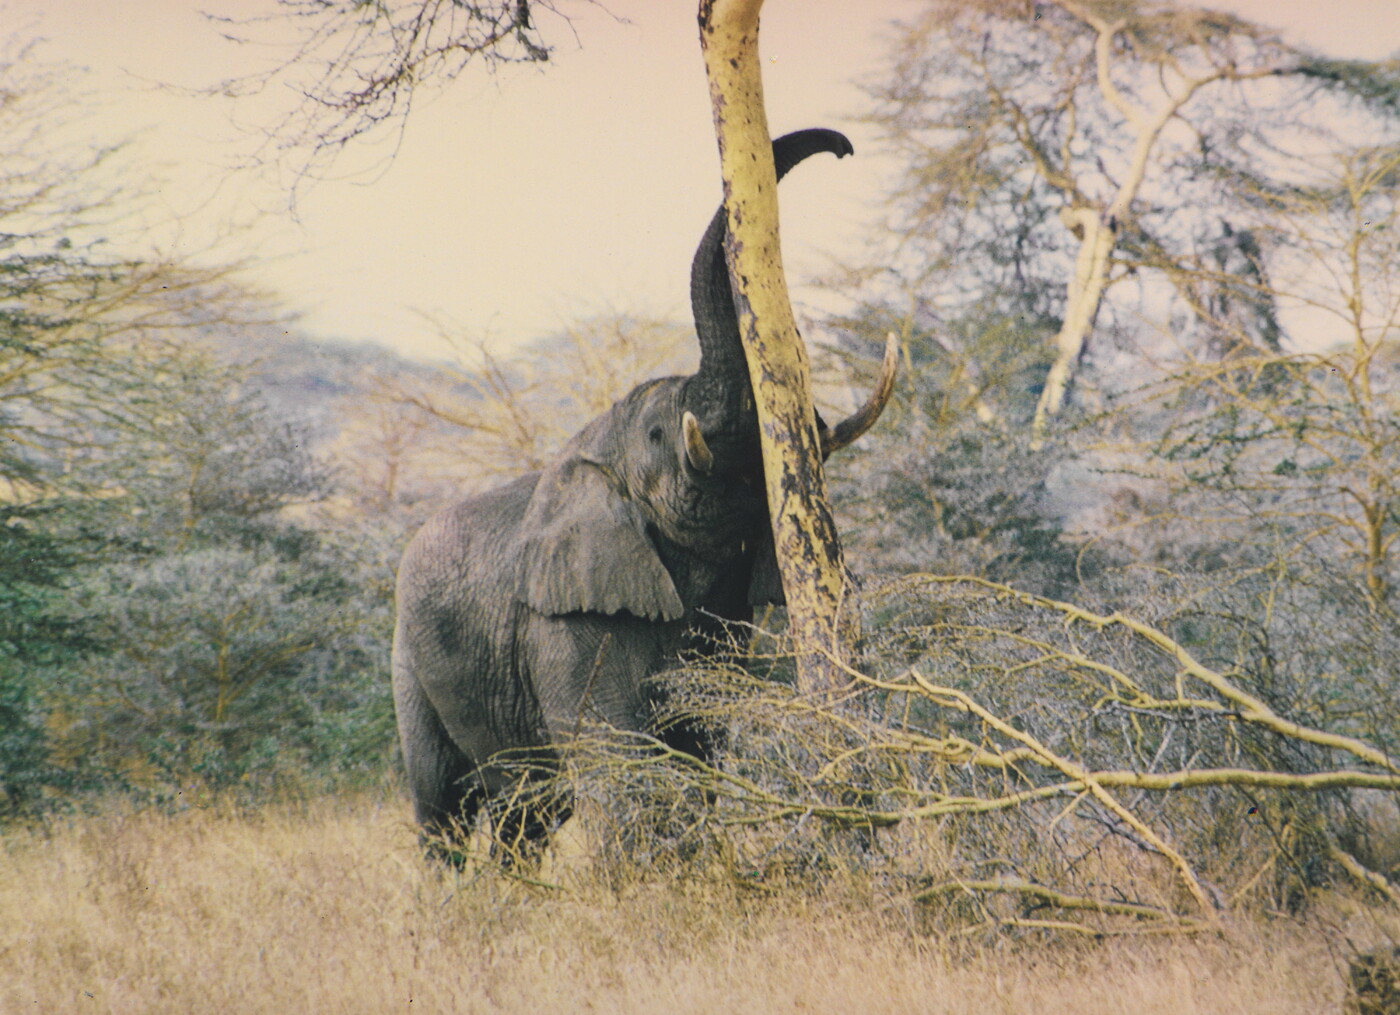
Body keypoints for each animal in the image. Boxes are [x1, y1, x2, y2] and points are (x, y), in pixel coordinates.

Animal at [391, 127, 896, 862]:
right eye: (659, 433)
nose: (844, 149)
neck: (602, 446)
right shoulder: (561, 619)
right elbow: (616, 750)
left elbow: (702, 742)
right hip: (407, 660)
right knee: (443, 806)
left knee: (528, 814)